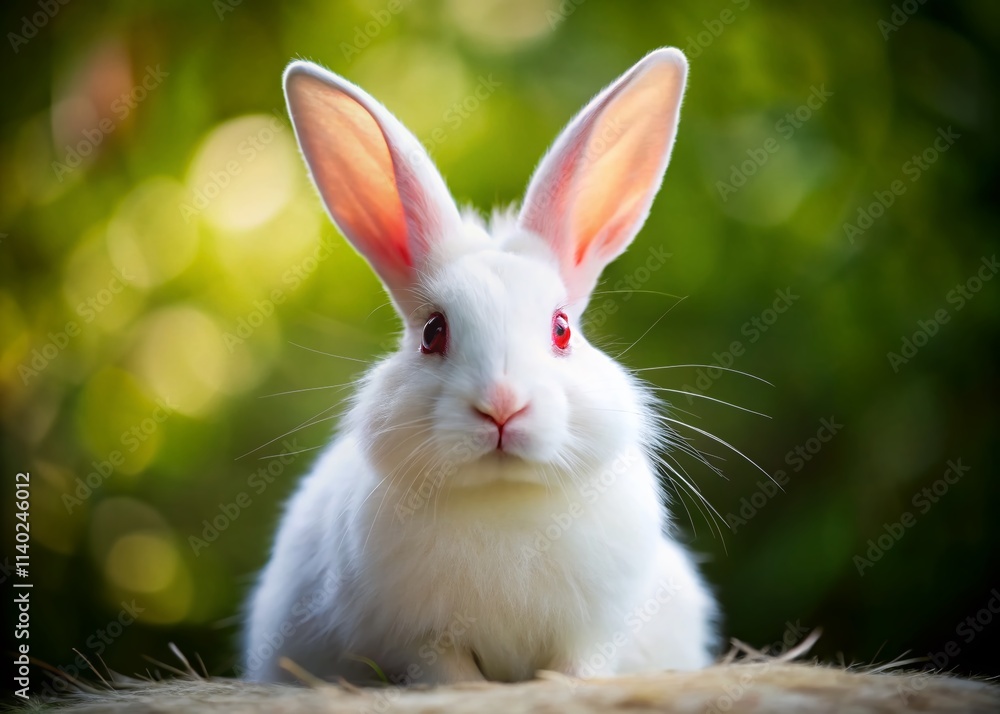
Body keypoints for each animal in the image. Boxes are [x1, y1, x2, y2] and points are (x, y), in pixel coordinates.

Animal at [243, 47, 718, 686]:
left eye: (562, 329)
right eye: (432, 332)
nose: (502, 406)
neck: (503, 498)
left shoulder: (594, 631)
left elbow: (576, 670)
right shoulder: (420, 640)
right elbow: (455, 679)